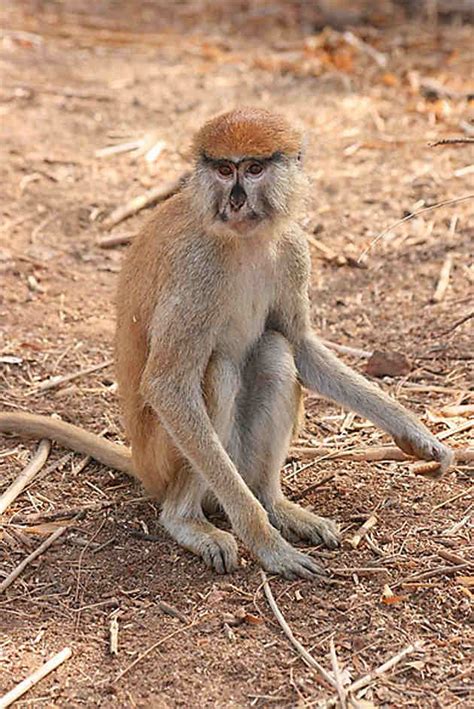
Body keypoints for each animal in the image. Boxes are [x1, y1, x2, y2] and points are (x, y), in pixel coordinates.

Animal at [0, 107, 453, 579]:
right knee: (216, 373)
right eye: (223, 170)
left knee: (275, 352)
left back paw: (274, 503)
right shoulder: (197, 269)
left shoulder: (293, 249)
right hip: (166, 457)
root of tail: (140, 461)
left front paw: (416, 434)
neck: (244, 238)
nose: (235, 200)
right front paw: (265, 542)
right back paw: (187, 519)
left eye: (253, 169)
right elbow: (167, 384)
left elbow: (301, 346)